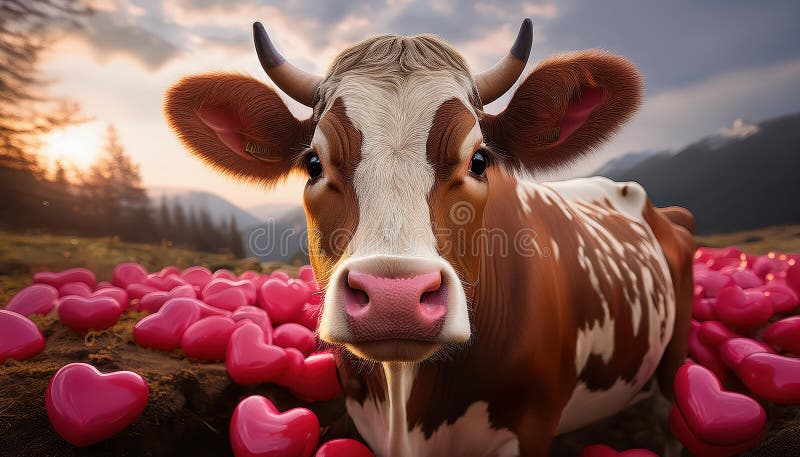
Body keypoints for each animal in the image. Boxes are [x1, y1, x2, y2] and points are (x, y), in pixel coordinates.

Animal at [164, 18, 695, 457]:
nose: (393, 298)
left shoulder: (534, 423)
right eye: (314, 163)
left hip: (674, 362)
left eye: (479, 160)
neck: (407, 404)